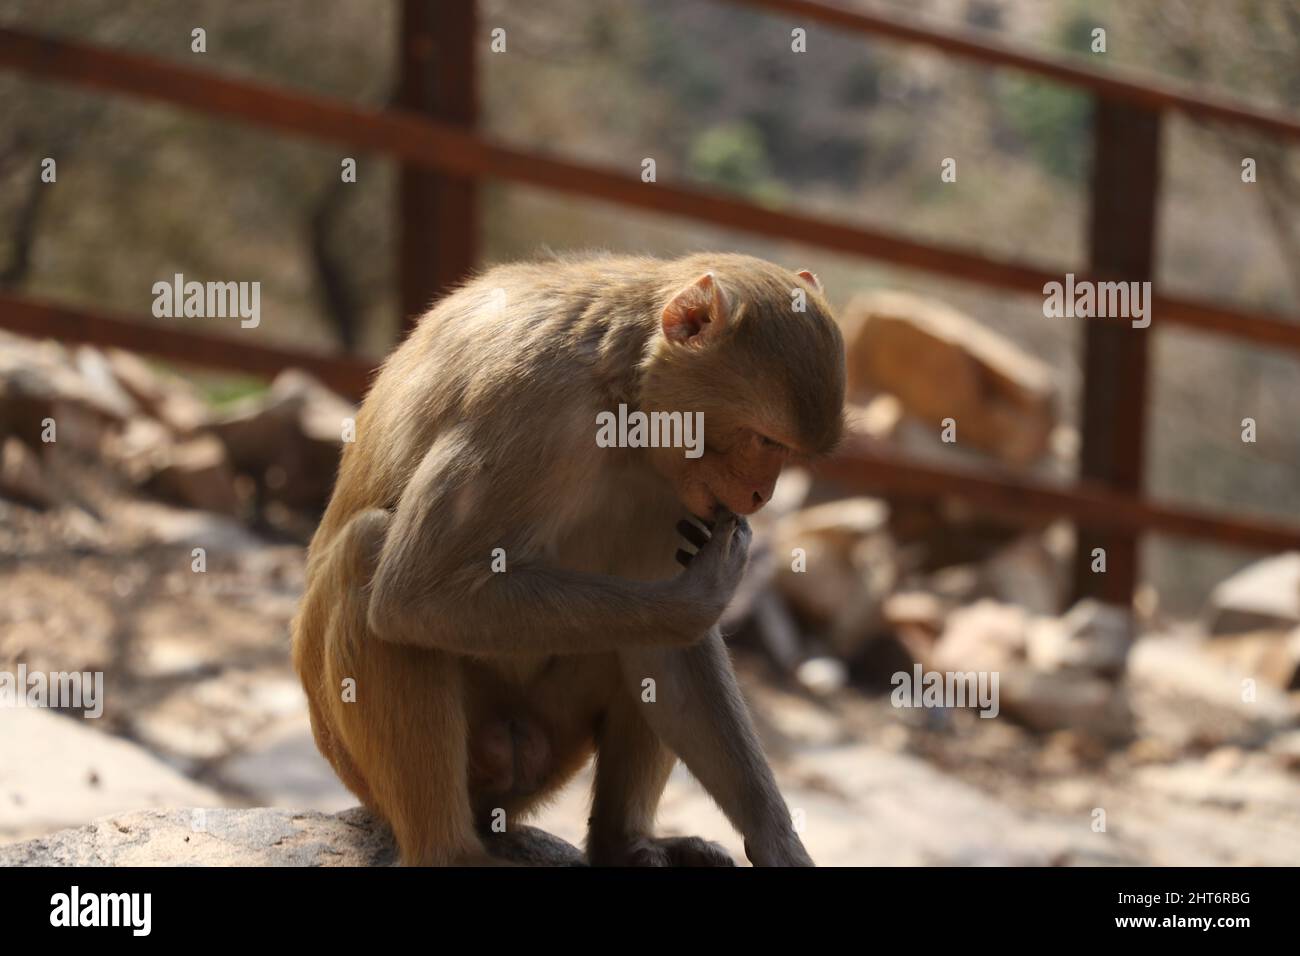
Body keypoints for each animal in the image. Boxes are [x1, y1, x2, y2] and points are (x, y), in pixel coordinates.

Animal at [291, 252, 845, 866]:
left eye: (784, 450)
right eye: (765, 441)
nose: (761, 496)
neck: (620, 390)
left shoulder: (679, 481)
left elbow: (668, 658)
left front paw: (777, 841)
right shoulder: (531, 401)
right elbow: (415, 596)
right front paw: (699, 600)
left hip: (554, 745)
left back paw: (622, 842)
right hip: (369, 764)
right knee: (367, 551)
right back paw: (448, 850)